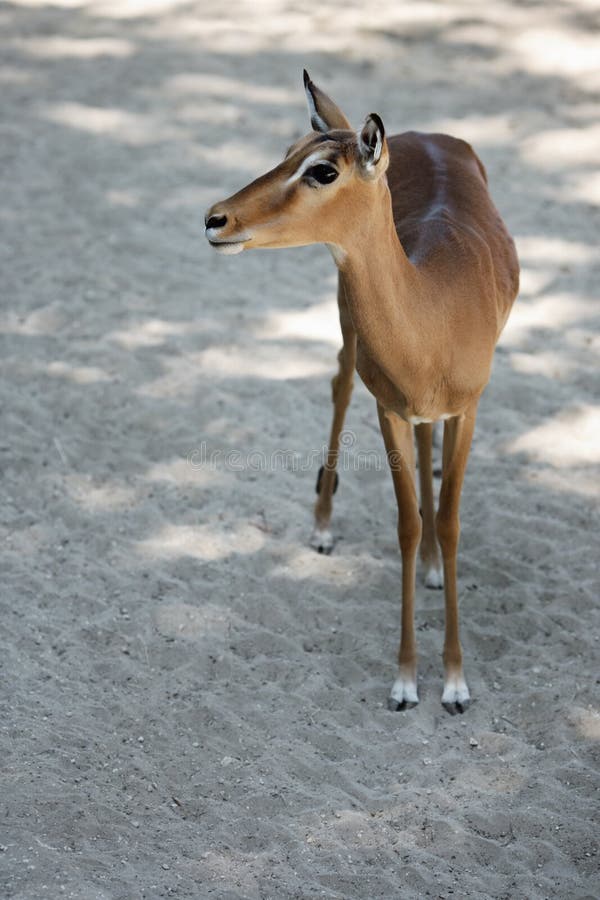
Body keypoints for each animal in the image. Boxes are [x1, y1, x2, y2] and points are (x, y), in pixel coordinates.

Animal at [205, 72, 519, 713]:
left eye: (323, 170)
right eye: (289, 151)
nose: (216, 219)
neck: (434, 310)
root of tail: (428, 134)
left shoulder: (467, 410)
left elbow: (447, 522)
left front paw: (455, 683)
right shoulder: (387, 408)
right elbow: (408, 524)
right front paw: (406, 681)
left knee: (427, 452)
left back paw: (431, 570)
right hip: (348, 328)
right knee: (339, 384)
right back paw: (323, 527)